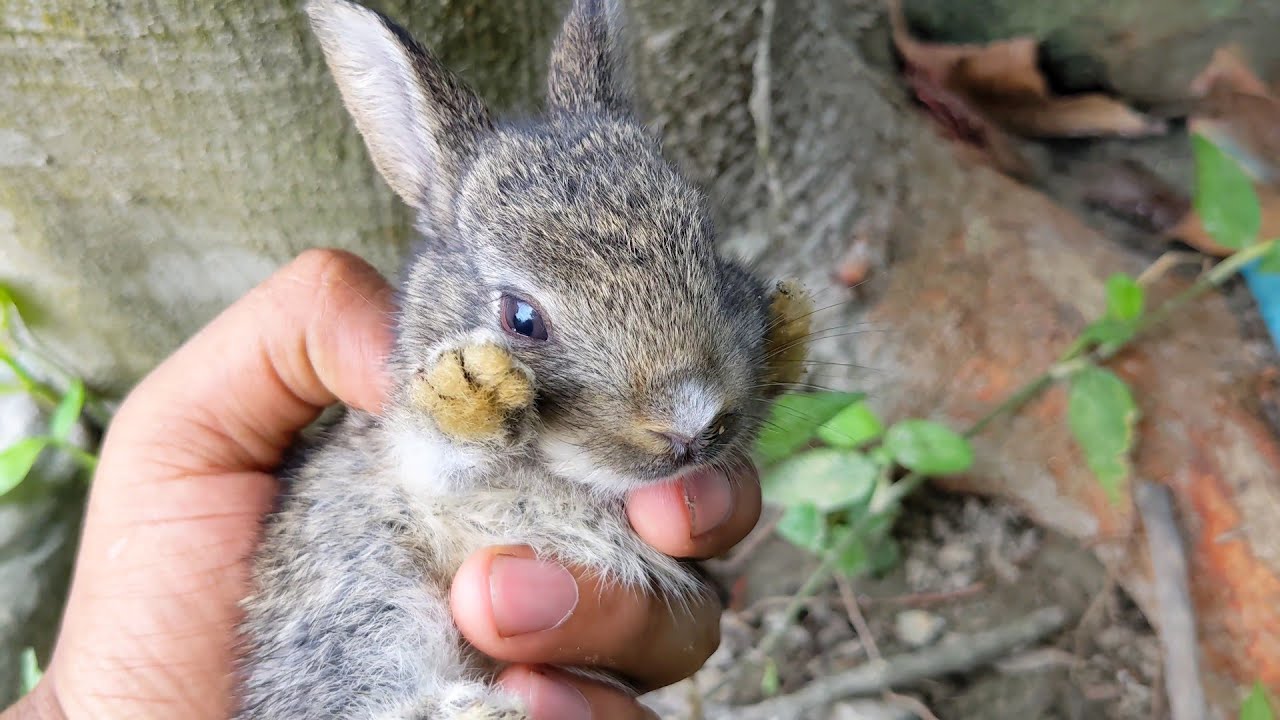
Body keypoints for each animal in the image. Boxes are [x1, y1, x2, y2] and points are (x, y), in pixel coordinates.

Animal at [232, 0, 814, 718]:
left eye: (709, 253)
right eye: (521, 317)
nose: (692, 422)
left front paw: (788, 323)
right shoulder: (407, 464)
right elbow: (435, 448)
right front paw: (472, 389)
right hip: (367, 602)